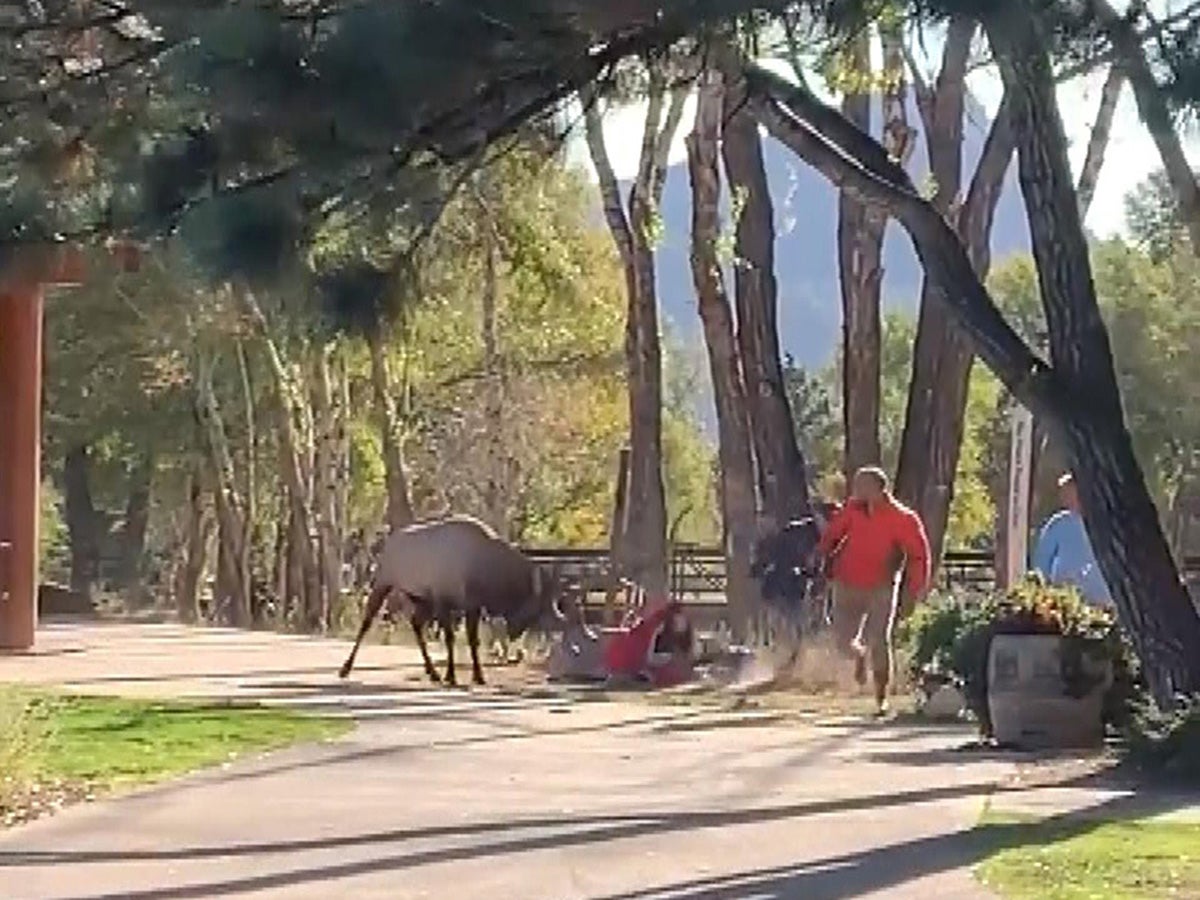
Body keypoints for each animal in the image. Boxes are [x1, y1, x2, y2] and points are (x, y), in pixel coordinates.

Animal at [337, 515, 569, 686]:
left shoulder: (472, 606)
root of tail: (386, 544)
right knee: (367, 622)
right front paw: (451, 675)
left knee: (416, 625)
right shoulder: (444, 602)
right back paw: (345, 668)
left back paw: (432, 671)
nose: (517, 633)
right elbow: (450, 638)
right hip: (383, 583)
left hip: (421, 599)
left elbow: (472, 640)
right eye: (539, 606)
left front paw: (478, 676)